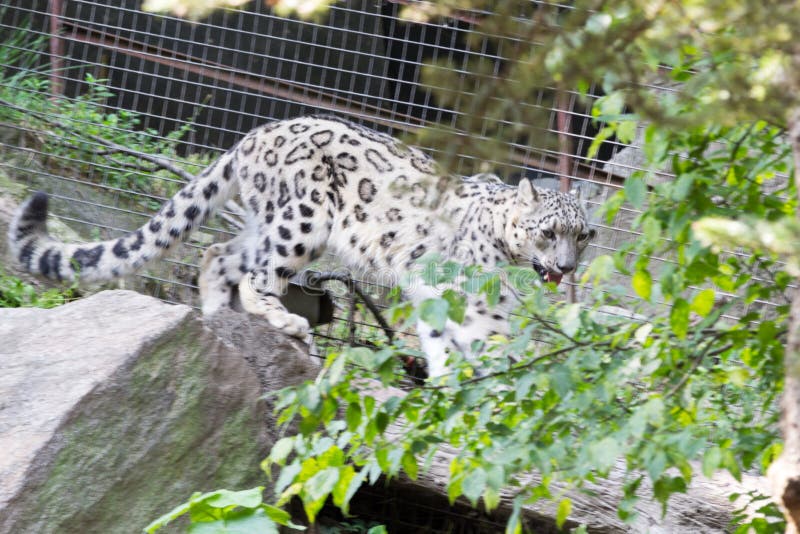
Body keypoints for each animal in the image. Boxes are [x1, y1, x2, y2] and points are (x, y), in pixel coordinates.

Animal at [8, 115, 595, 377]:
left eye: (584, 234)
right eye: (548, 231)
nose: (566, 267)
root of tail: (251, 137)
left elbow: (453, 339)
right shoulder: (464, 292)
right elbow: (477, 339)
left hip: (266, 225)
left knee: (217, 255)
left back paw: (217, 321)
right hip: (302, 221)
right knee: (255, 273)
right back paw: (283, 321)